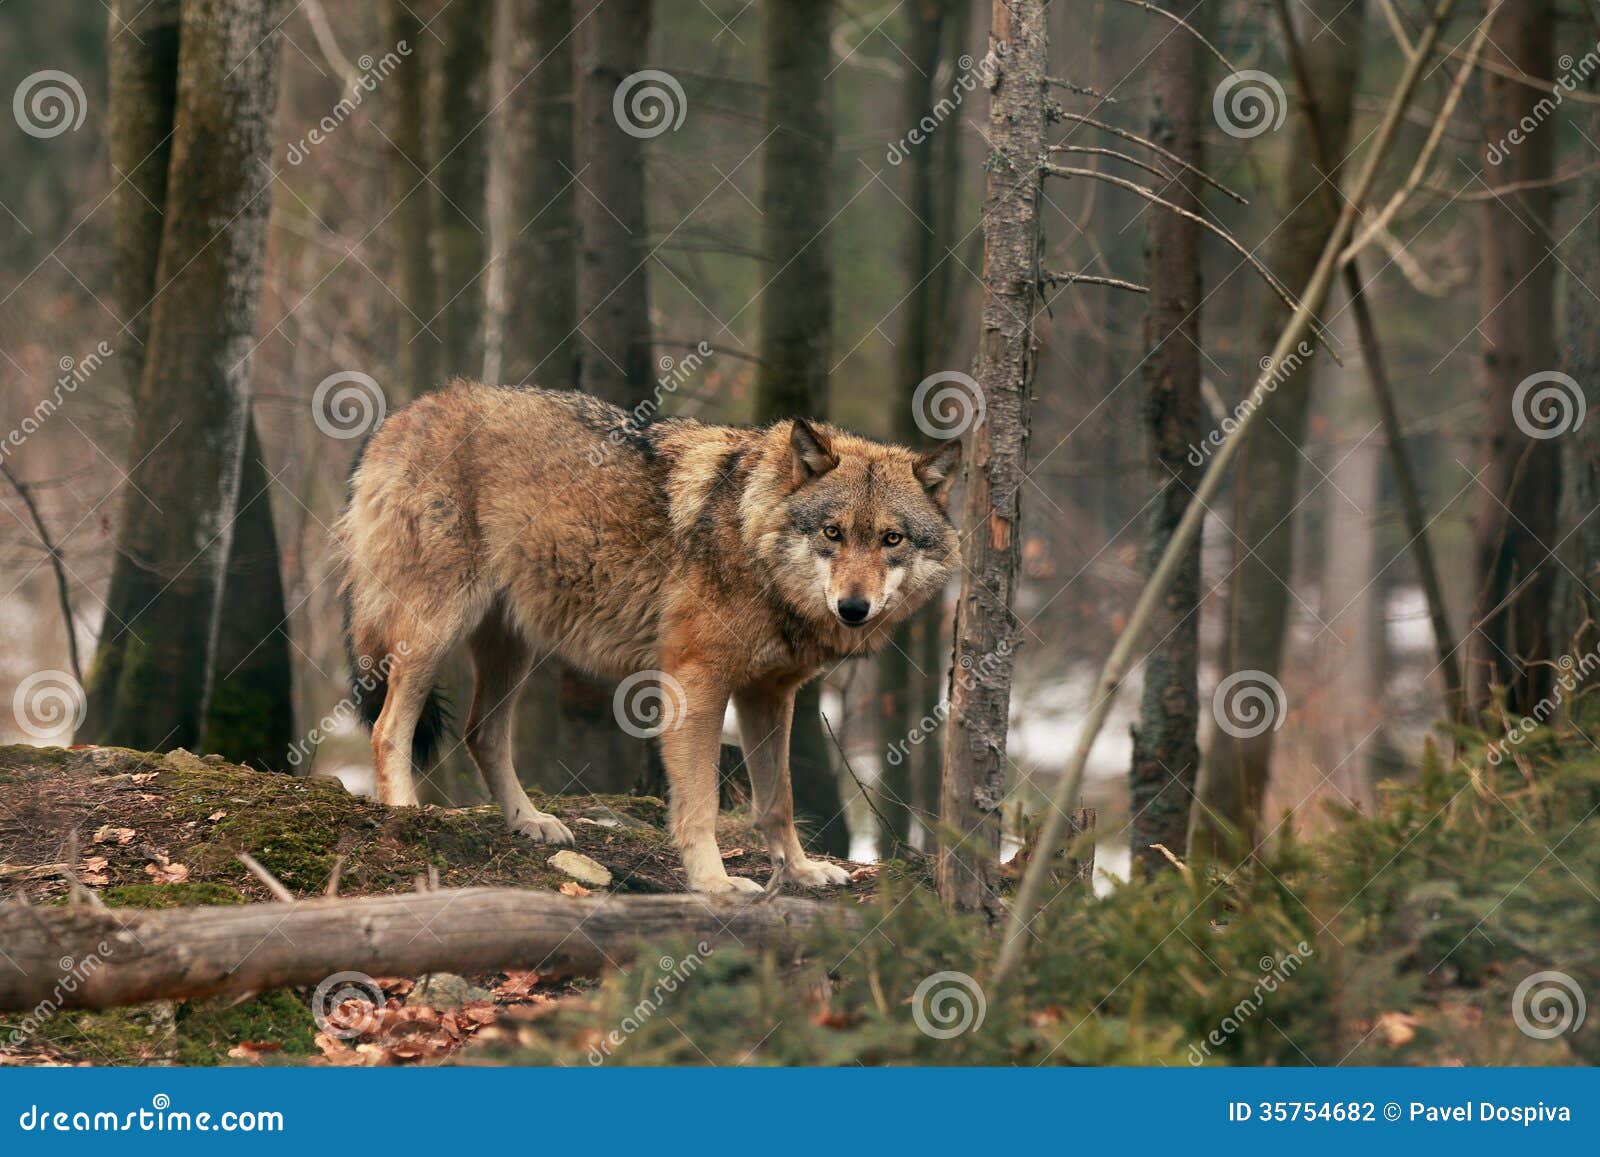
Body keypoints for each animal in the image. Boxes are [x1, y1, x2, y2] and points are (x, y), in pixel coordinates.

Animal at [337, 381, 961, 894]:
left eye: (891, 539)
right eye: (833, 533)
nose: (853, 608)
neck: (751, 535)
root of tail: (403, 415)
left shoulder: (769, 695)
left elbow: (777, 801)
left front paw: (801, 871)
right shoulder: (696, 680)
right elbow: (701, 802)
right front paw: (715, 882)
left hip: (513, 648)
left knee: (482, 734)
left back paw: (529, 822)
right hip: (435, 631)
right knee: (390, 729)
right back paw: (407, 813)